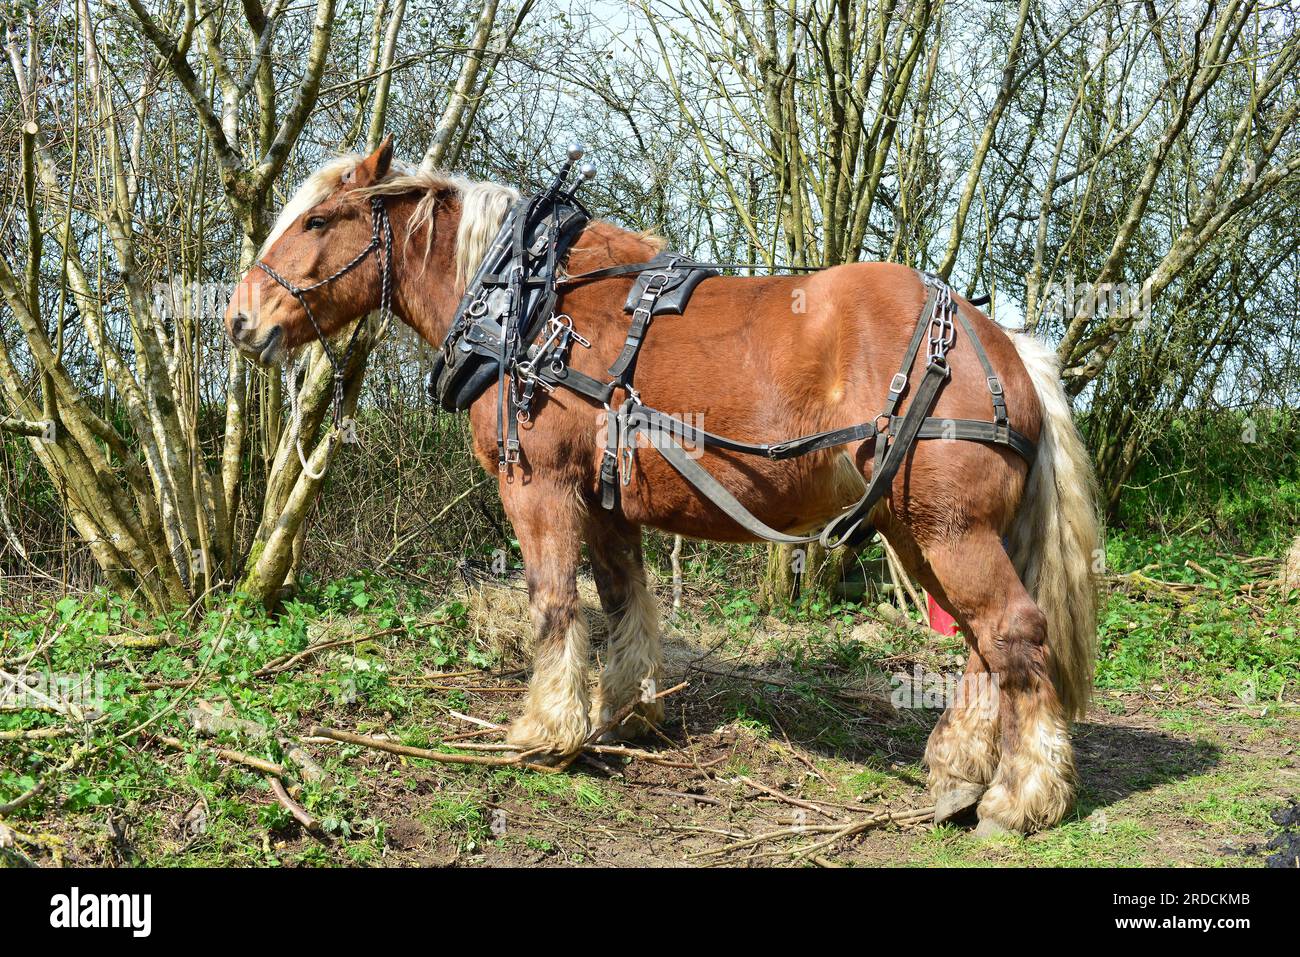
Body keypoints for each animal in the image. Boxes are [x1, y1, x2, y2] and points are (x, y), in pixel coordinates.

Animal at [225, 138, 1100, 835]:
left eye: (316, 221)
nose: (237, 318)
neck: (529, 307)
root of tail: (1001, 341)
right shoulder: (604, 496)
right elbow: (622, 600)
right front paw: (622, 711)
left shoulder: (538, 484)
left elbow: (554, 602)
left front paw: (546, 729)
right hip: (913, 525)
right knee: (985, 645)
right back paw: (958, 770)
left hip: (949, 526)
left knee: (1016, 631)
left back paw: (1021, 796)